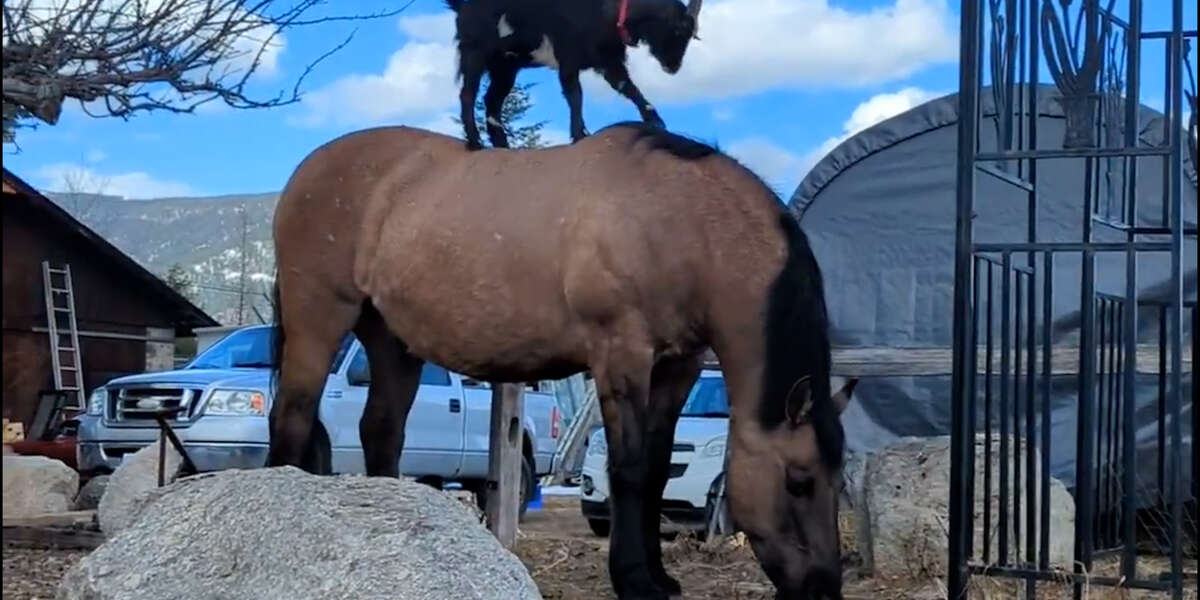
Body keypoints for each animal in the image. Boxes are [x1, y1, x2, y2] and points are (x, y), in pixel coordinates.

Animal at [446, 0, 703, 150]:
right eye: (678, 29)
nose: (673, 67)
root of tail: (462, 7)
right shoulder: (567, 57)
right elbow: (575, 94)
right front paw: (580, 134)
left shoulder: (607, 60)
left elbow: (627, 87)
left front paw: (655, 121)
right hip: (475, 52)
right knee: (468, 94)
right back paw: (475, 141)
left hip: (505, 66)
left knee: (492, 100)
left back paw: (502, 144)